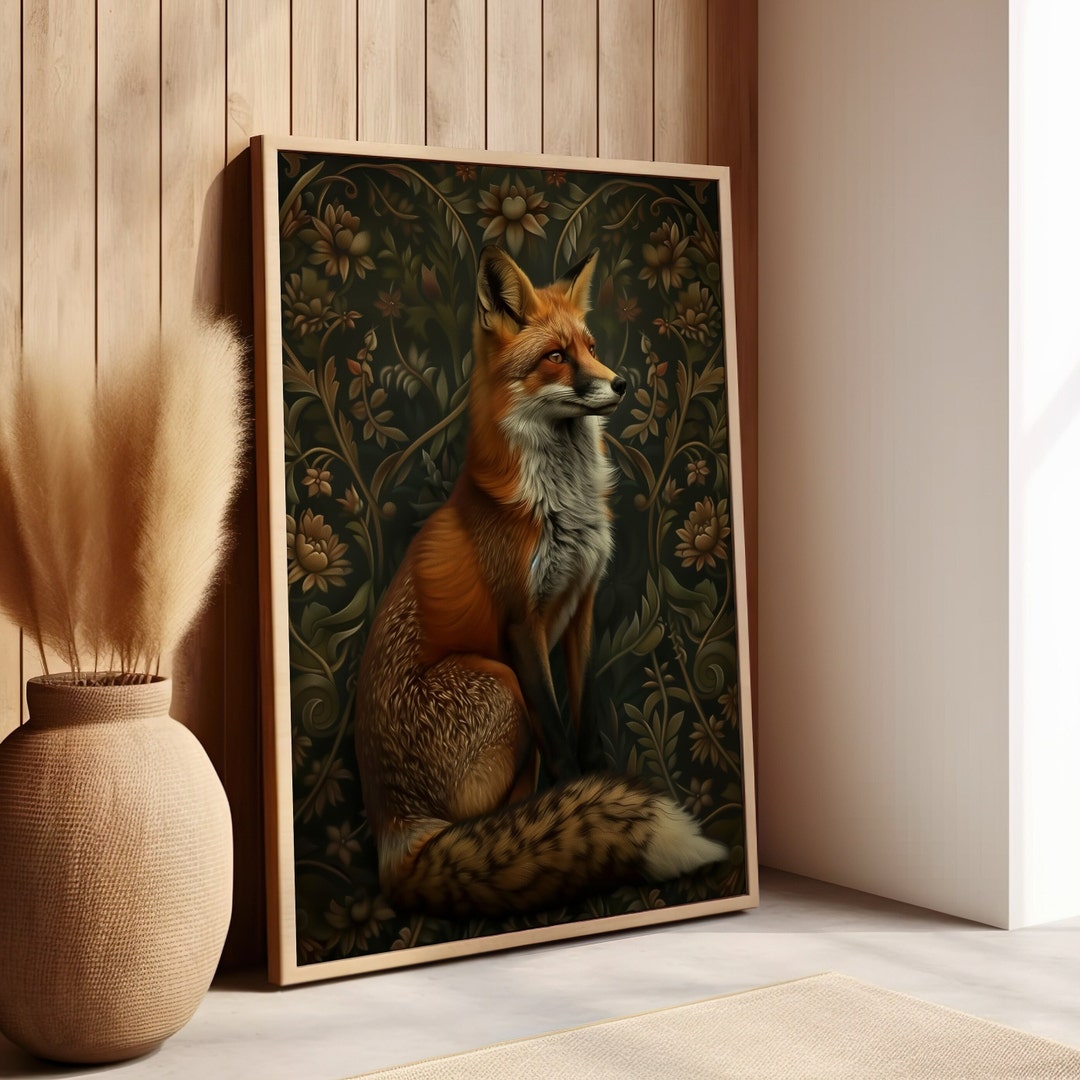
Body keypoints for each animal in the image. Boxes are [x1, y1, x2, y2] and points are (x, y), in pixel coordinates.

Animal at [353, 245, 727, 919]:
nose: (622, 383)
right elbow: (556, 732)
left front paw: (595, 781)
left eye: (591, 344)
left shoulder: (582, 605)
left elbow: (581, 711)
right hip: (498, 682)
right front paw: (577, 797)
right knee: (494, 813)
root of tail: (396, 841)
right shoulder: (520, 624)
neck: (561, 507)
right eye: (556, 355)